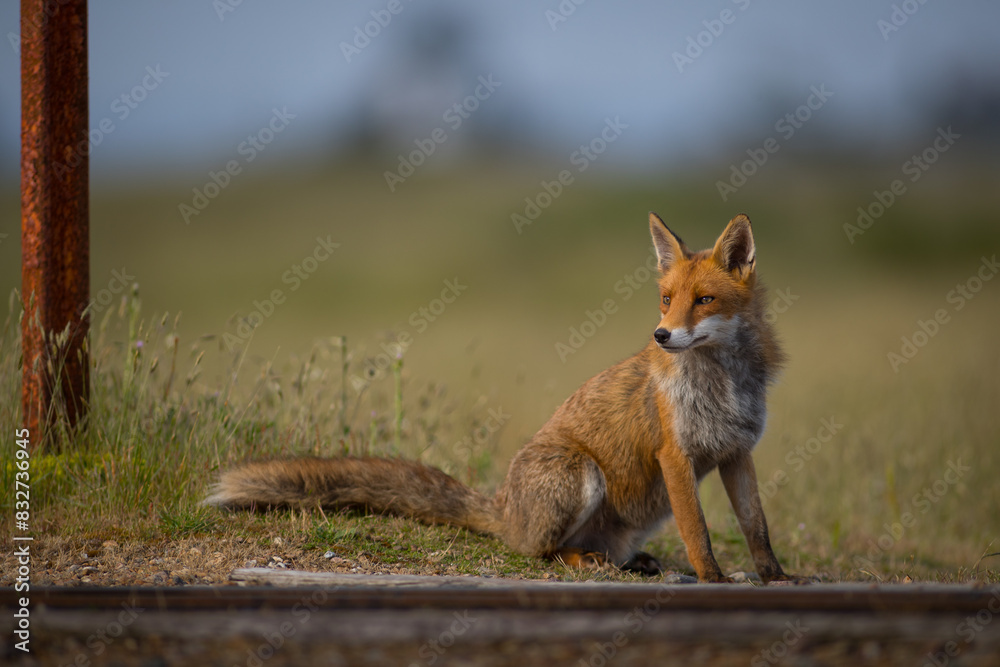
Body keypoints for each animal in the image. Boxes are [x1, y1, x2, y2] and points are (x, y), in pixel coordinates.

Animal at [206, 212, 800, 583]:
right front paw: (713, 579)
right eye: (665, 299)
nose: (661, 336)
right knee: (540, 552)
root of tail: (506, 509)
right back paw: (583, 560)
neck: (723, 385)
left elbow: (757, 527)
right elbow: (699, 533)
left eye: (703, 301)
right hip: (580, 474)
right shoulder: (675, 456)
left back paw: (630, 563)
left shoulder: (736, 453)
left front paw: (776, 578)